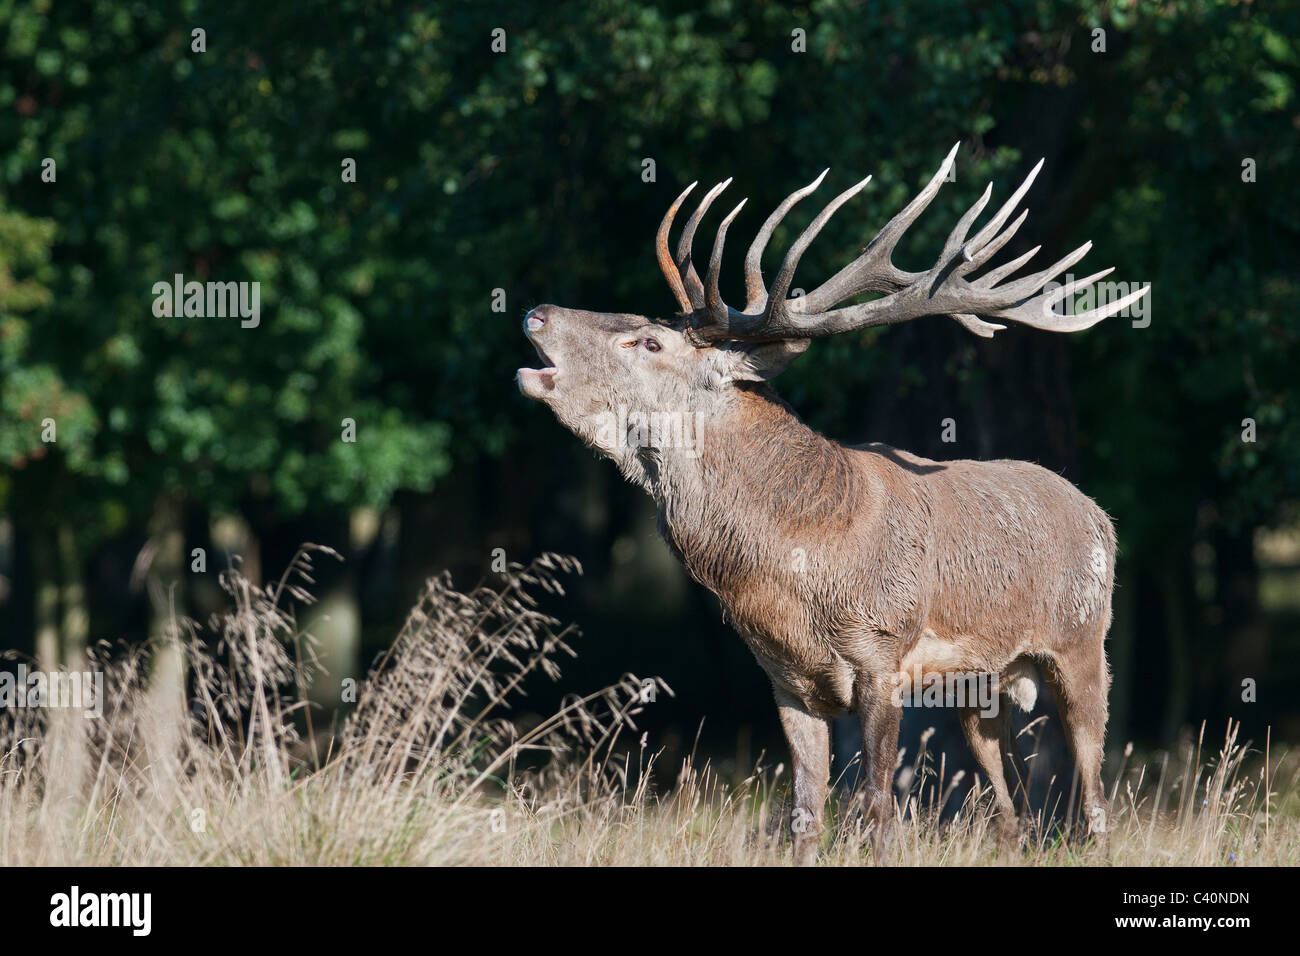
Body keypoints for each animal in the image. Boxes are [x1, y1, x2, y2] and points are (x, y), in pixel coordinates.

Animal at [517, 144, 1147, 864]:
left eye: (650, 342)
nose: (536, 311)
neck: (795, 571)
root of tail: (1100, 515)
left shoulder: (883, 655)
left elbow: (878, 807)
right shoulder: (785, 680)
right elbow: (804, 813)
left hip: (1082, 638)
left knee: (1093, 791)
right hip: (982, 684)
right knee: (1009, 798)